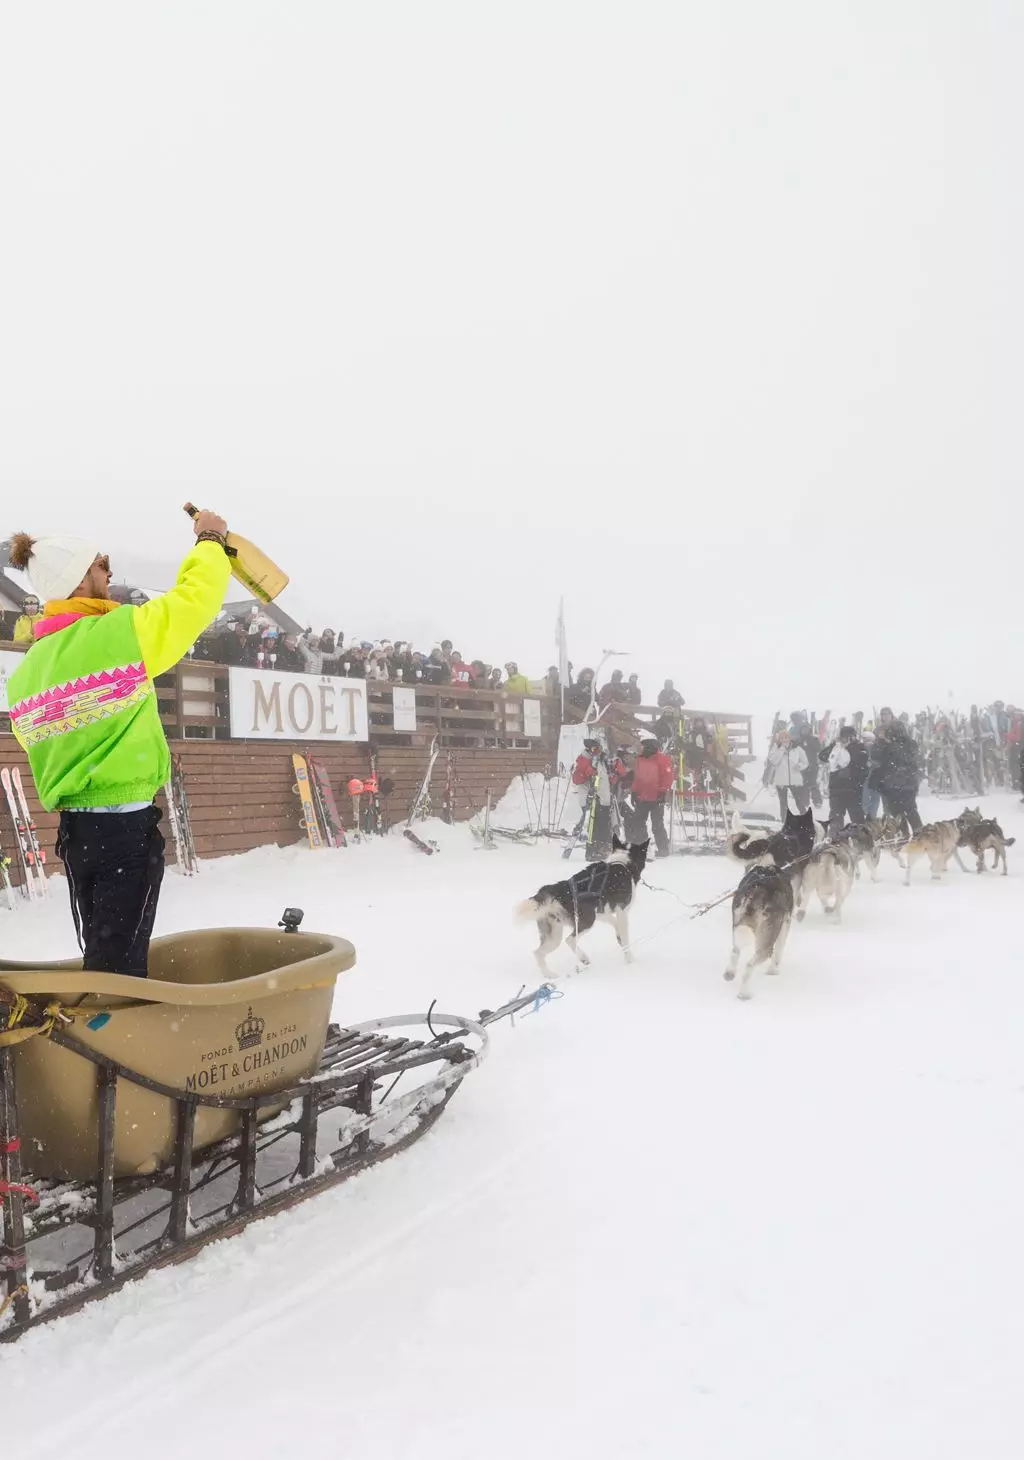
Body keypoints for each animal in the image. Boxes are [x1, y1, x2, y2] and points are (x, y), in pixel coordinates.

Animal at [514, 835, 651, 969]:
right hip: (587, 920)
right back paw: (584, 958)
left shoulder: (602, 912)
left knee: (538, 953)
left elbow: (614, 924)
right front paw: (631, 961)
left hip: (554, 934)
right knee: (570, 940)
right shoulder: (622, 911)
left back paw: (552, 974)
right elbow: (625, 938)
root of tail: (554, 889)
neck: (623, 863)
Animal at [721, 864, 794, 1004]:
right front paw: (773, 971)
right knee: (749, 966)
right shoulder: (785, 924)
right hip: (767, 943)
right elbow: (779, 950)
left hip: (737, 927)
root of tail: (758, 890)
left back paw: (730, 973)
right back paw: (744, 994)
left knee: (735, 951)